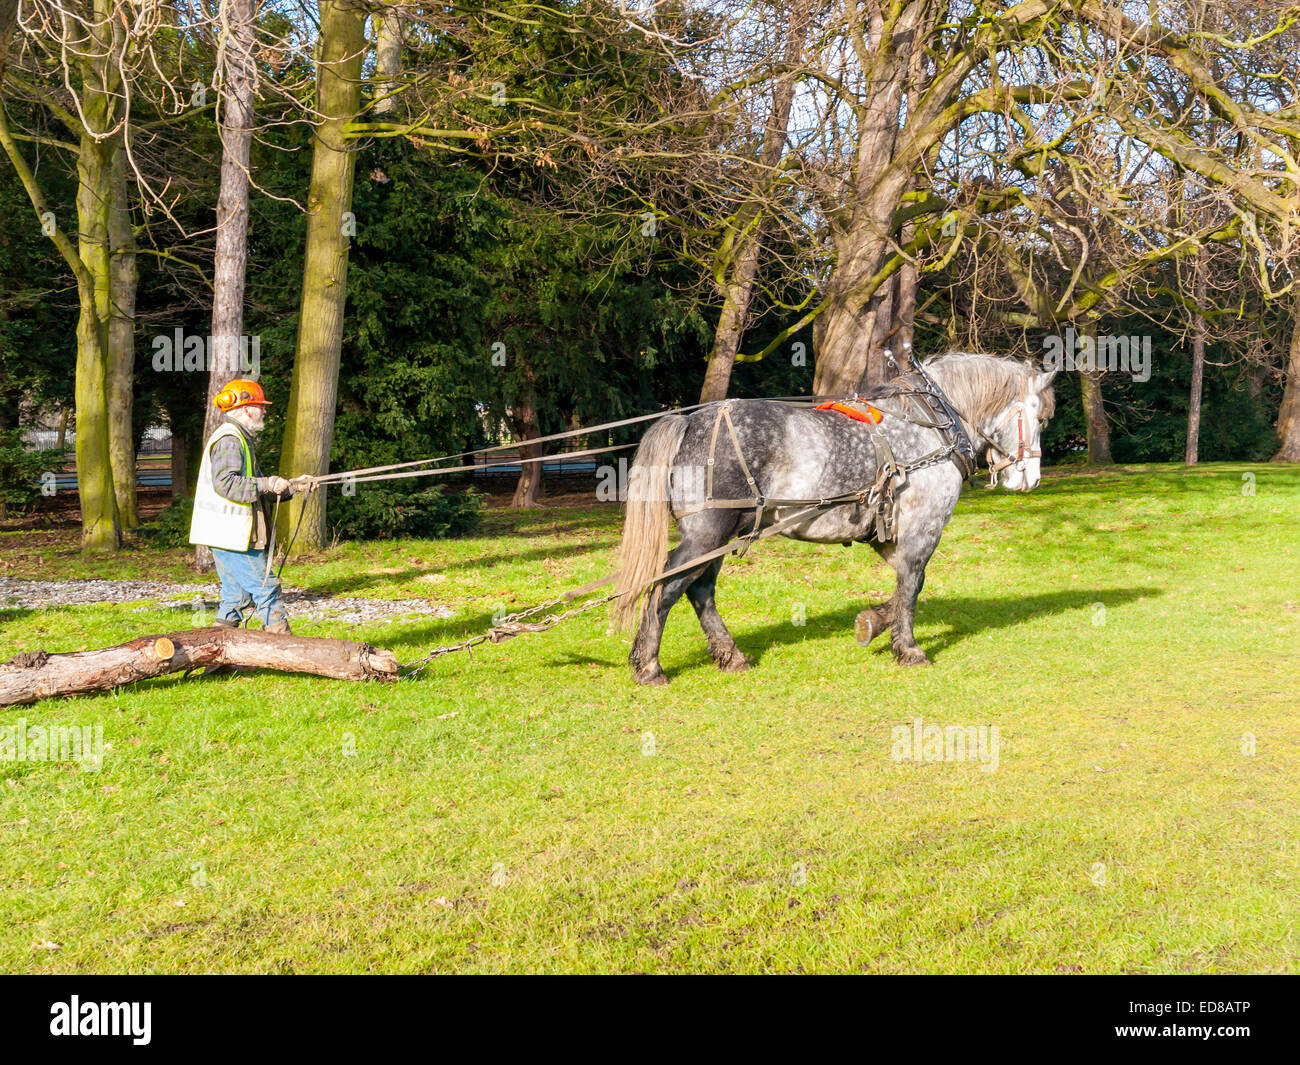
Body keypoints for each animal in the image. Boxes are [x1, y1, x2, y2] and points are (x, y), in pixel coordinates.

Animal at [611, 352, 1057, 685]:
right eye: (1041, 418)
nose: (1031, 479)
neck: (934, 424)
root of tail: (689, 421)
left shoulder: (885, 532)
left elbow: (903, 587)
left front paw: (874, 622)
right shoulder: (923, 527)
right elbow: (913, 584)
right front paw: (909, 648)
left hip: (725, 533)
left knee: (700, 589)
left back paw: (729, 654)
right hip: (706, 533)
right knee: (668, 585)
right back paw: (649, 665)